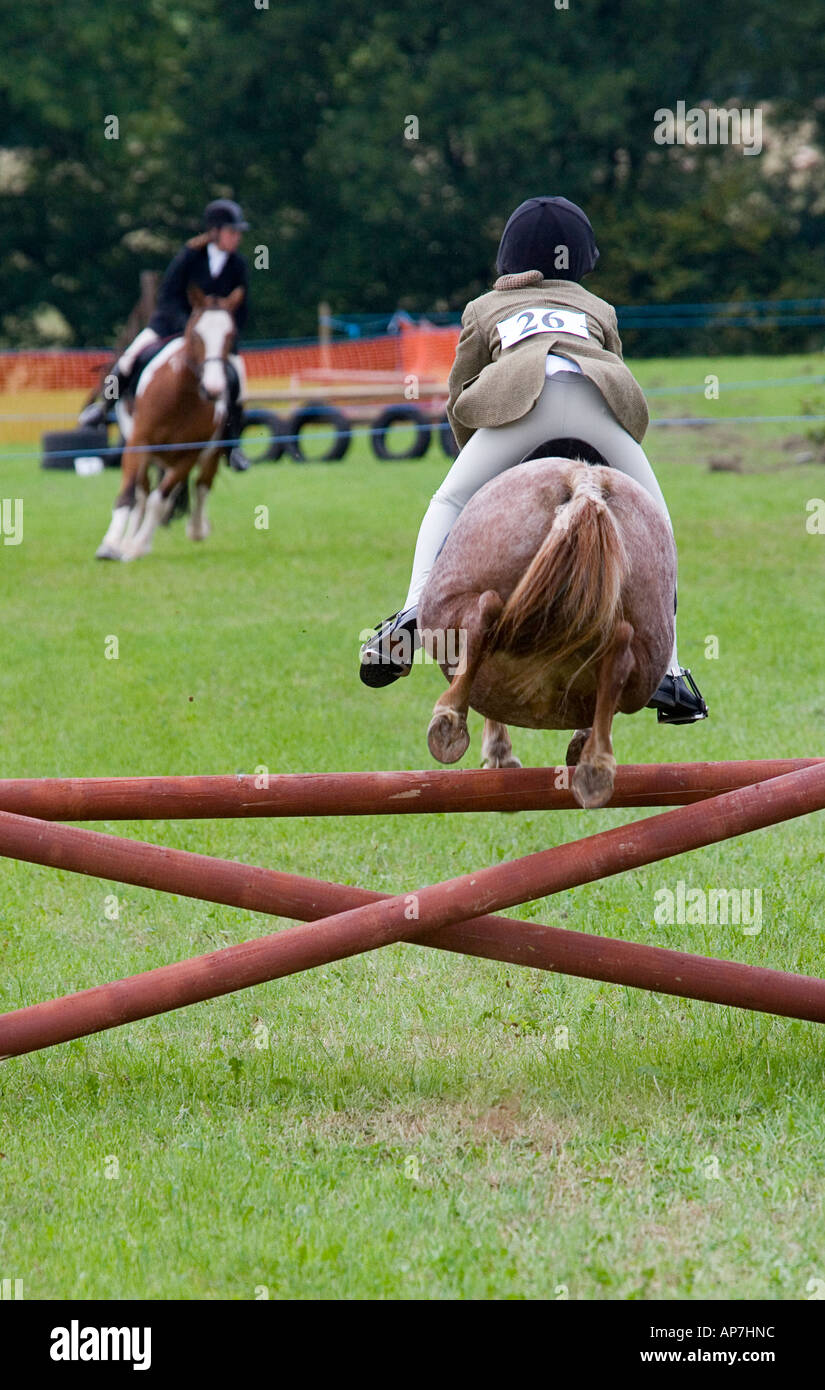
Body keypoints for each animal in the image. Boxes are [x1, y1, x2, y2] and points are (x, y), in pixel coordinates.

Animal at [95, 286, 244, 561]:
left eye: (231, 335)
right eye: (196, 334)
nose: (214, 389)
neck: (180, 396)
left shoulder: (188, 455)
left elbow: (160, 500)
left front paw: (136, 547)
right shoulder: (138, 443)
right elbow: (130, 494)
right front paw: (111, 545)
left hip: (205, 453)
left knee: (200, 485)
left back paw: (193, 529)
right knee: (143, 493)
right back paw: (127, 541)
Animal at [417, 455, 677, 809]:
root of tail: (585, 482)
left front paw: (500, 755)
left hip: (442, 612)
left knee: (484, 612)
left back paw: (448, 723)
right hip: (646, 664)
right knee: (620, 656)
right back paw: (595, 768)